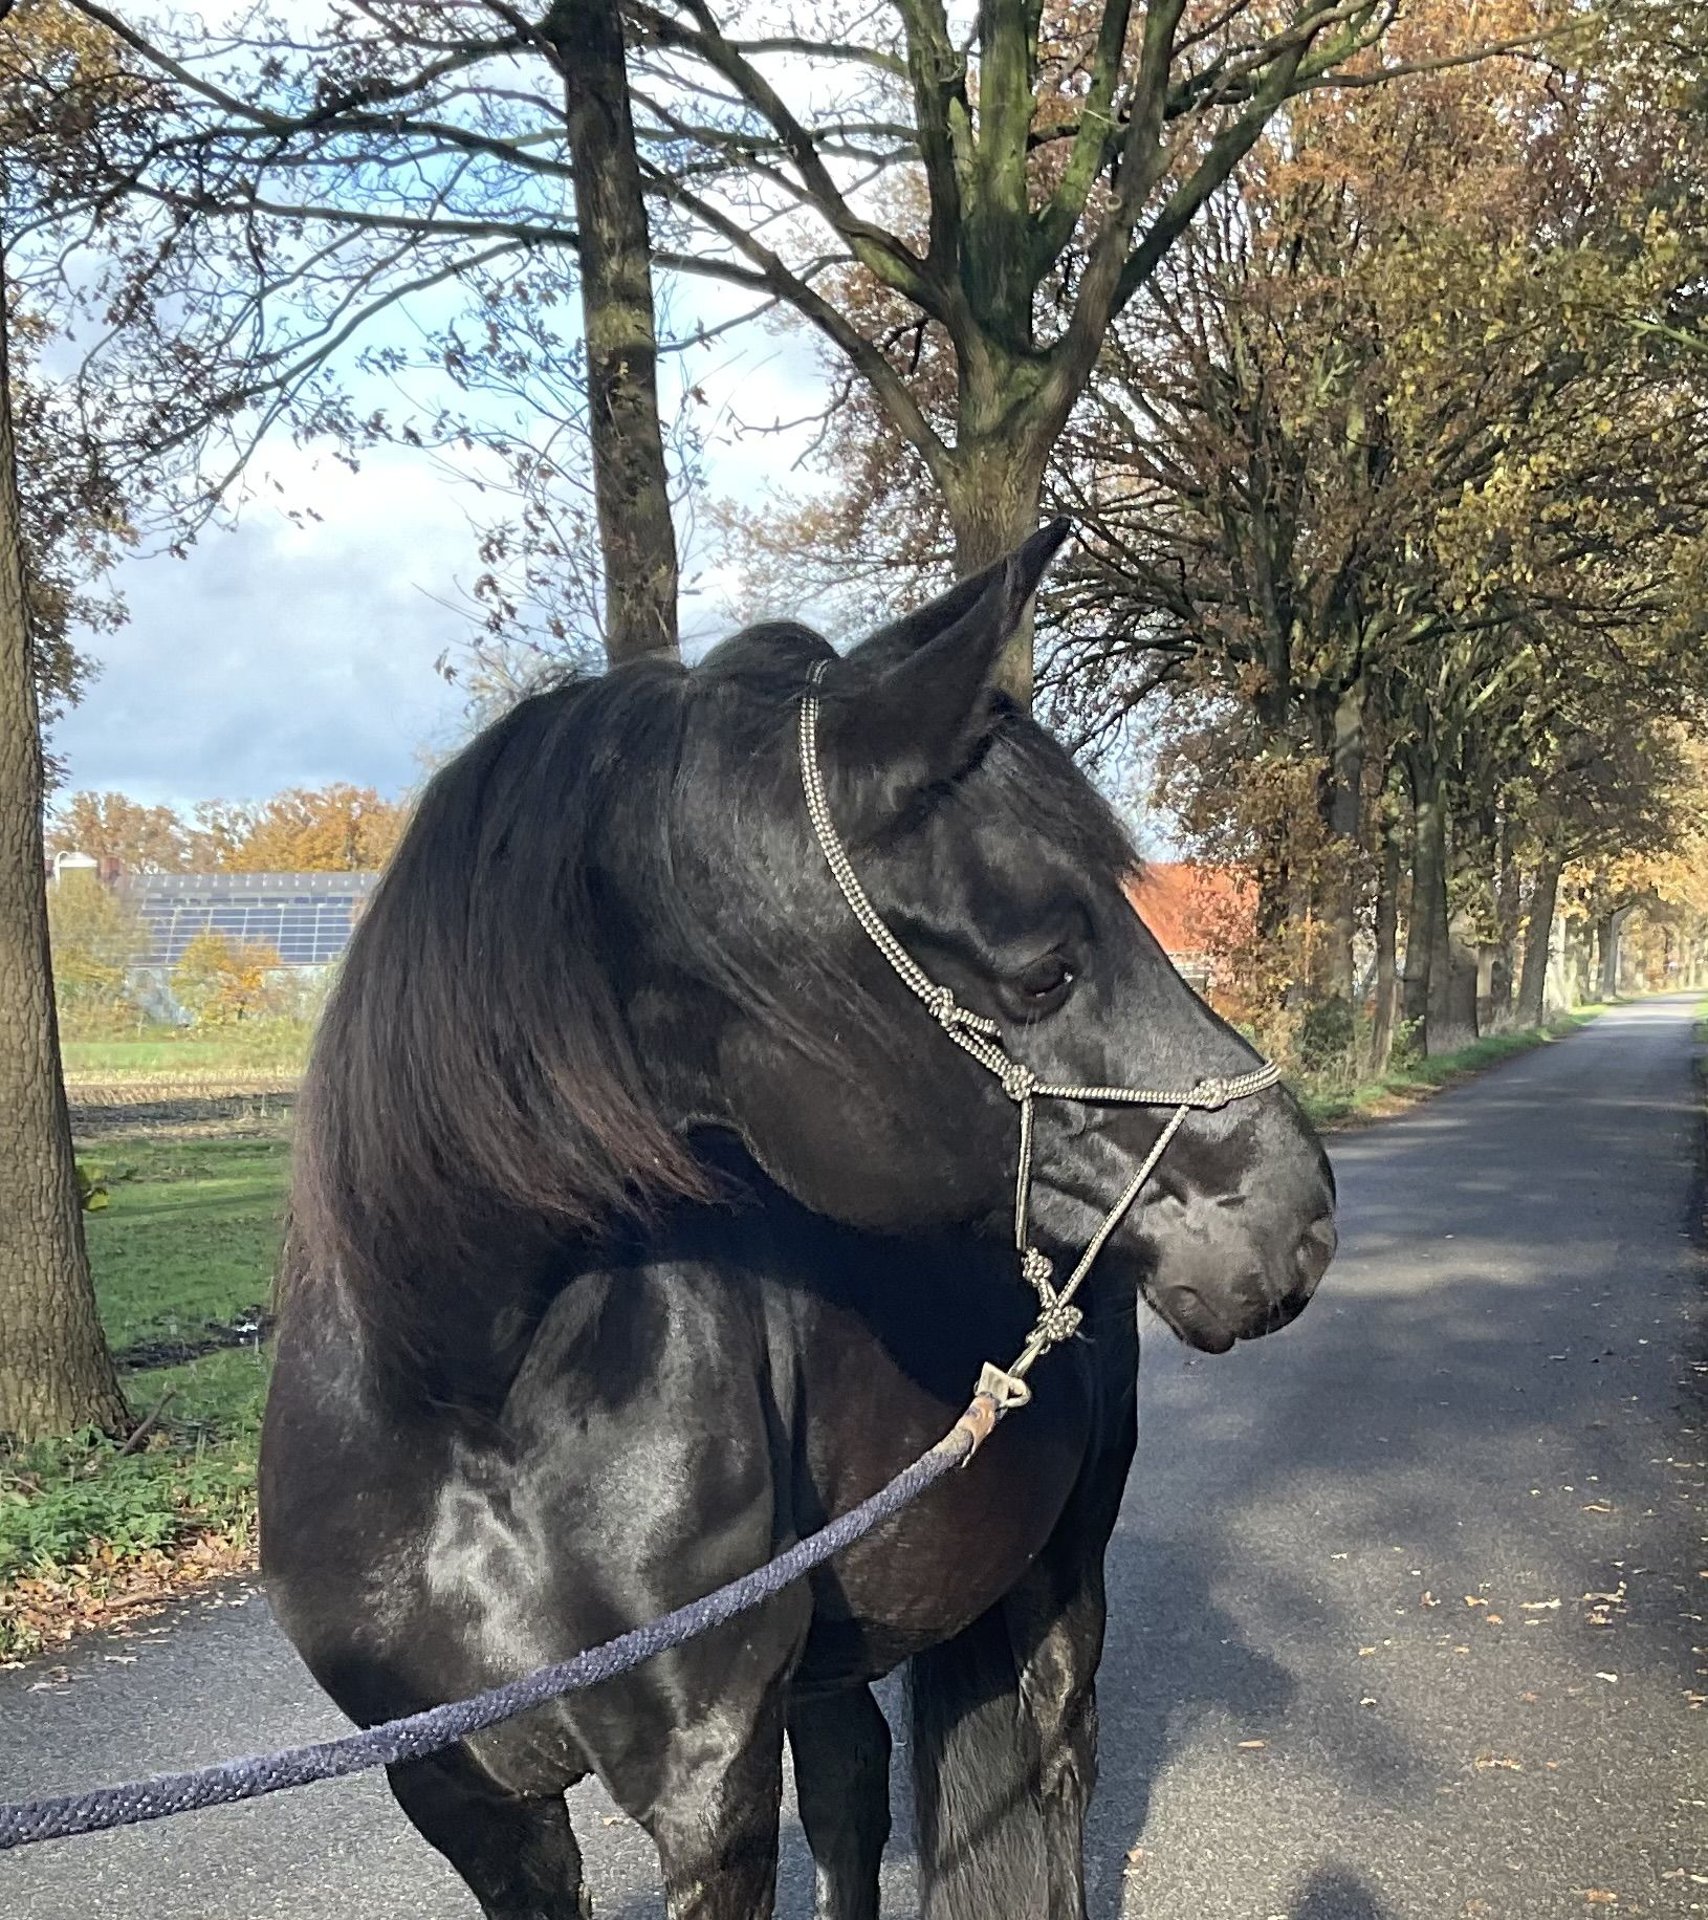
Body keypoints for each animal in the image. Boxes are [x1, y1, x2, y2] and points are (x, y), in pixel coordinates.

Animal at [258, 521, 1336, 1920]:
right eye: (1047, 969)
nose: (1298, 1209)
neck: (465, 1410)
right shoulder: (461, 1795)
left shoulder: (706, 1781)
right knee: (853, 1780)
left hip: (1061, 1563)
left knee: (1054, 1760)